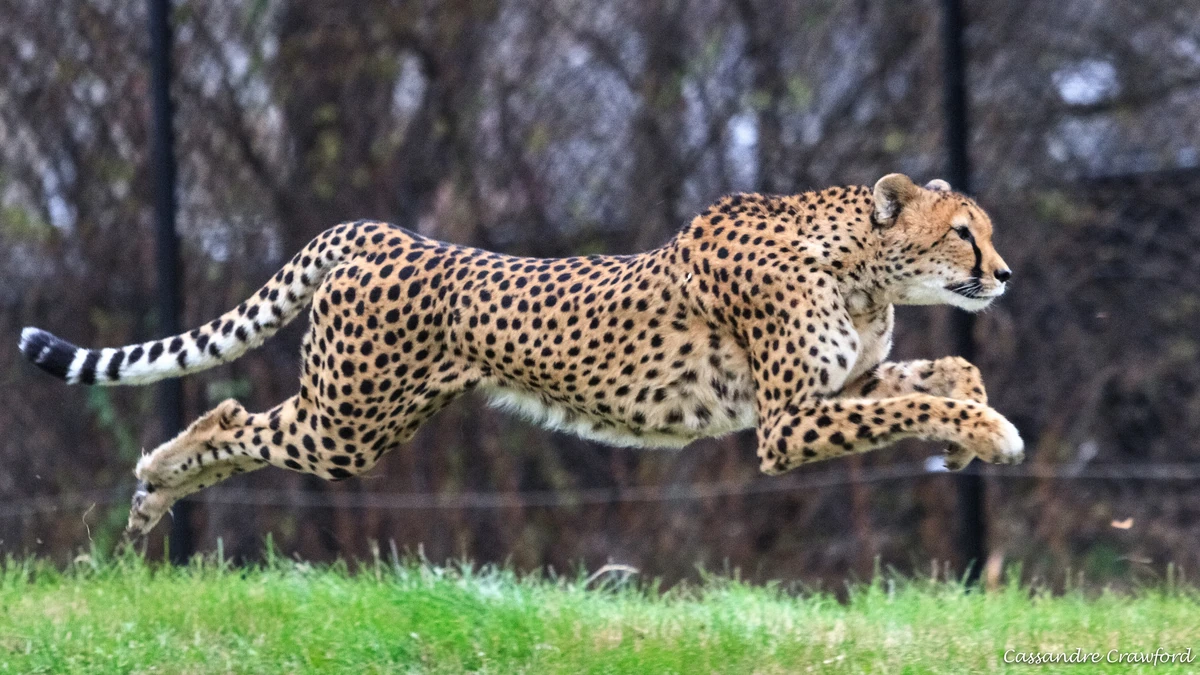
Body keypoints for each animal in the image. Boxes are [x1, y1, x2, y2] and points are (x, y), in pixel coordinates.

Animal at [19, 173, 1023, 537]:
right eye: (965, 232)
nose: (1005, 273)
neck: (860, 267)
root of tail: (380, 232)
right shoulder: (784, 426)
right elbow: (922, 398)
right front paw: (986, 434)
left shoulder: (844, 384)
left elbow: (944, 376)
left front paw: (969, 432)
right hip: (347, 422)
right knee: (234, 415)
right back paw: (156, 478)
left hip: (367, 416)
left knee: (241, 421)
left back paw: (152, 497)